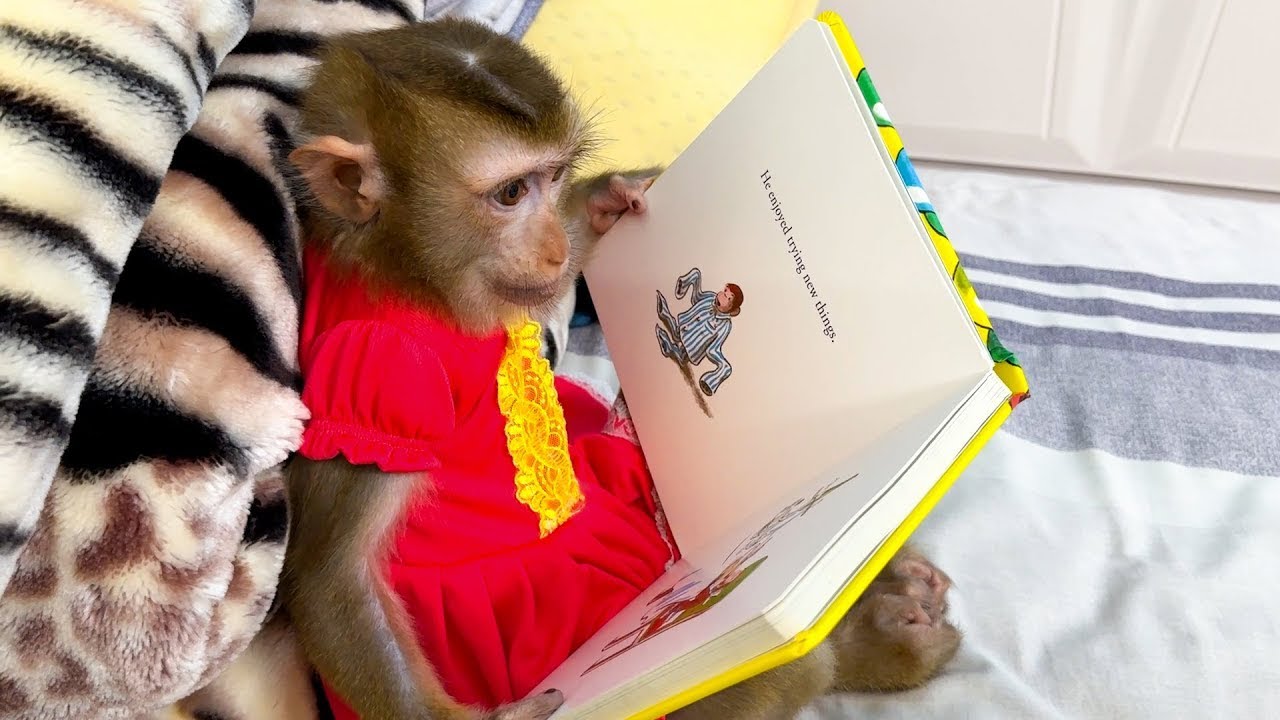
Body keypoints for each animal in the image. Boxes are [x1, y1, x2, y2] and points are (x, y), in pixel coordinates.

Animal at [278, 18, 961, 720]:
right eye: (510, 194)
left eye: (554, 179)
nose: (555, 247)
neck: (411, 286)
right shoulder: (380, 365)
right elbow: (337, 576)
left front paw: (610, 200)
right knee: (800, 665)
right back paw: (880, 640)